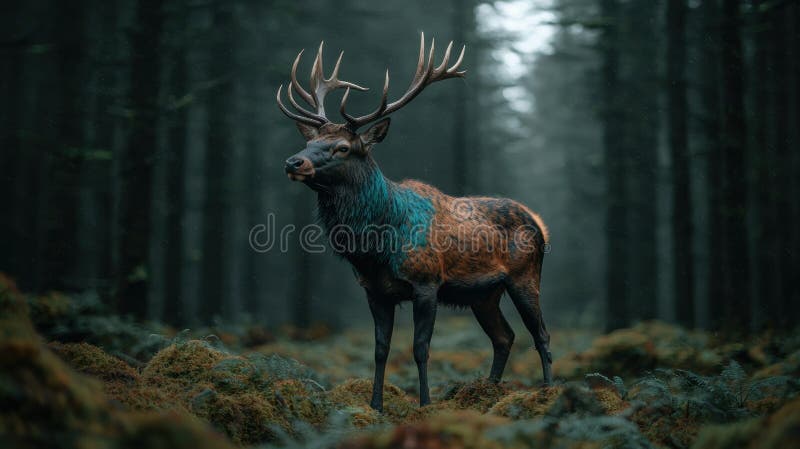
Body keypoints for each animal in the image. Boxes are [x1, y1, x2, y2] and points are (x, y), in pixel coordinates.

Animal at [276, 33, 552, 412]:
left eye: (343, 147)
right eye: (310, 140)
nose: (294, 162)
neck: (377, 246)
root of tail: (539, 223)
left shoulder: (427, 283)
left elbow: (420, 349)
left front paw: (425, 404)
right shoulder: (375, 291)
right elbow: (380, 350)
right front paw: (376, 406)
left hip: (526, 275)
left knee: (541, 334)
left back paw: (548, 391)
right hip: (484, 294)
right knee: (504, 337)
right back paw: (488, 392)